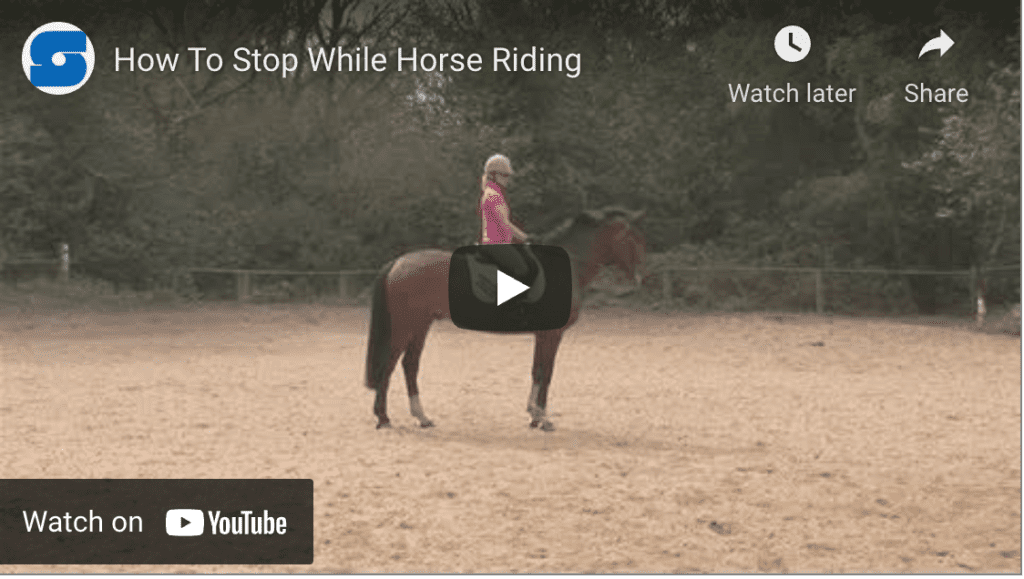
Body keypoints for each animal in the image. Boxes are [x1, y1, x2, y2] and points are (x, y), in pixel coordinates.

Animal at [364, 207, 646, 431]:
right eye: (632, 239)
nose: (639, 279)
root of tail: (398, 262)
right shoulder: (553, 333)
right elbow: (547, 372)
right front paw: (544, 418)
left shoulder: (543, 334)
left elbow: (536, 370)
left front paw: (534, 416)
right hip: (405, 326)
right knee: (390, 365)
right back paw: (384, 417)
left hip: (421, 325)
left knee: (409, 365)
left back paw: (421, 417)